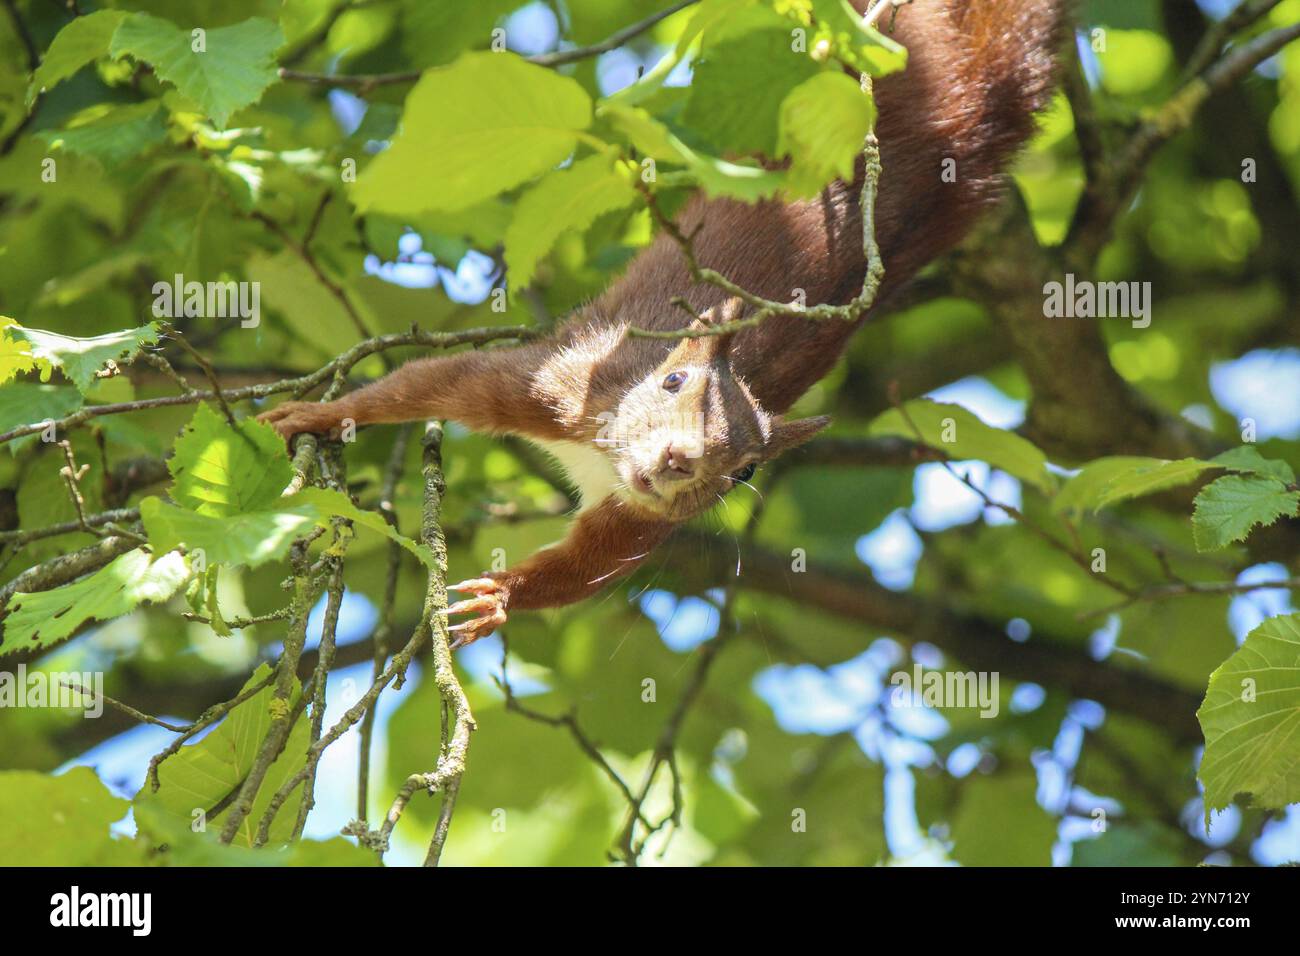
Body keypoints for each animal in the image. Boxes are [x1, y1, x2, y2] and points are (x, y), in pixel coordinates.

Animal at [261, 0, 1068, 647]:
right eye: (675, 380)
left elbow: (583, 568)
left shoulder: (641, 522)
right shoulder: (557, 385)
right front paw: (317, 415)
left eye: (747, 470)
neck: (603, 450)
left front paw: (501, 598)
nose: (685, 461)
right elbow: (434, 384)